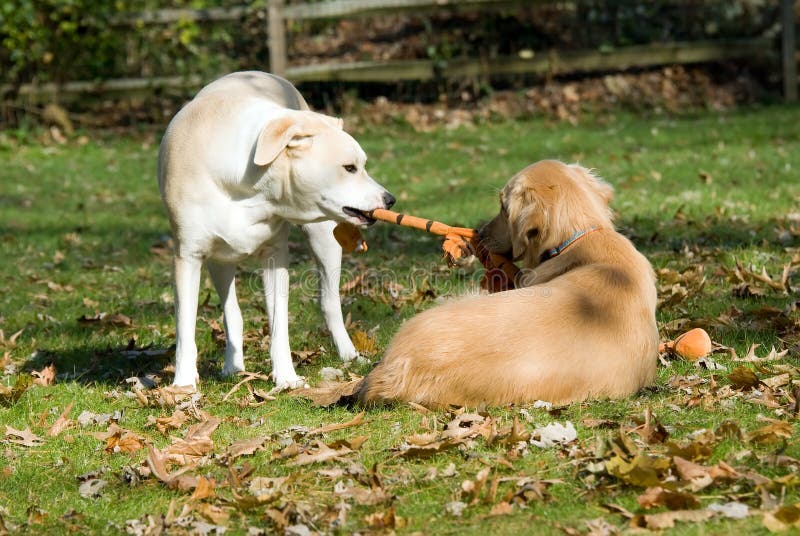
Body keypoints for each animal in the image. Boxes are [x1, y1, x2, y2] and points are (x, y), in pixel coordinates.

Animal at [158, 71, 396, 390]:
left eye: (363, 165)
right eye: (349, 168)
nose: (390, 200)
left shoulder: (275, 256)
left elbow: (279, 323)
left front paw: (286, 378)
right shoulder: (188, 256)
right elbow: (185, 326)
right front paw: (184, 384)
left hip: (324, 238)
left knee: (329, 302)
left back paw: (348, 353)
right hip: (219, 261)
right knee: (232, 311)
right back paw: (233, 365)